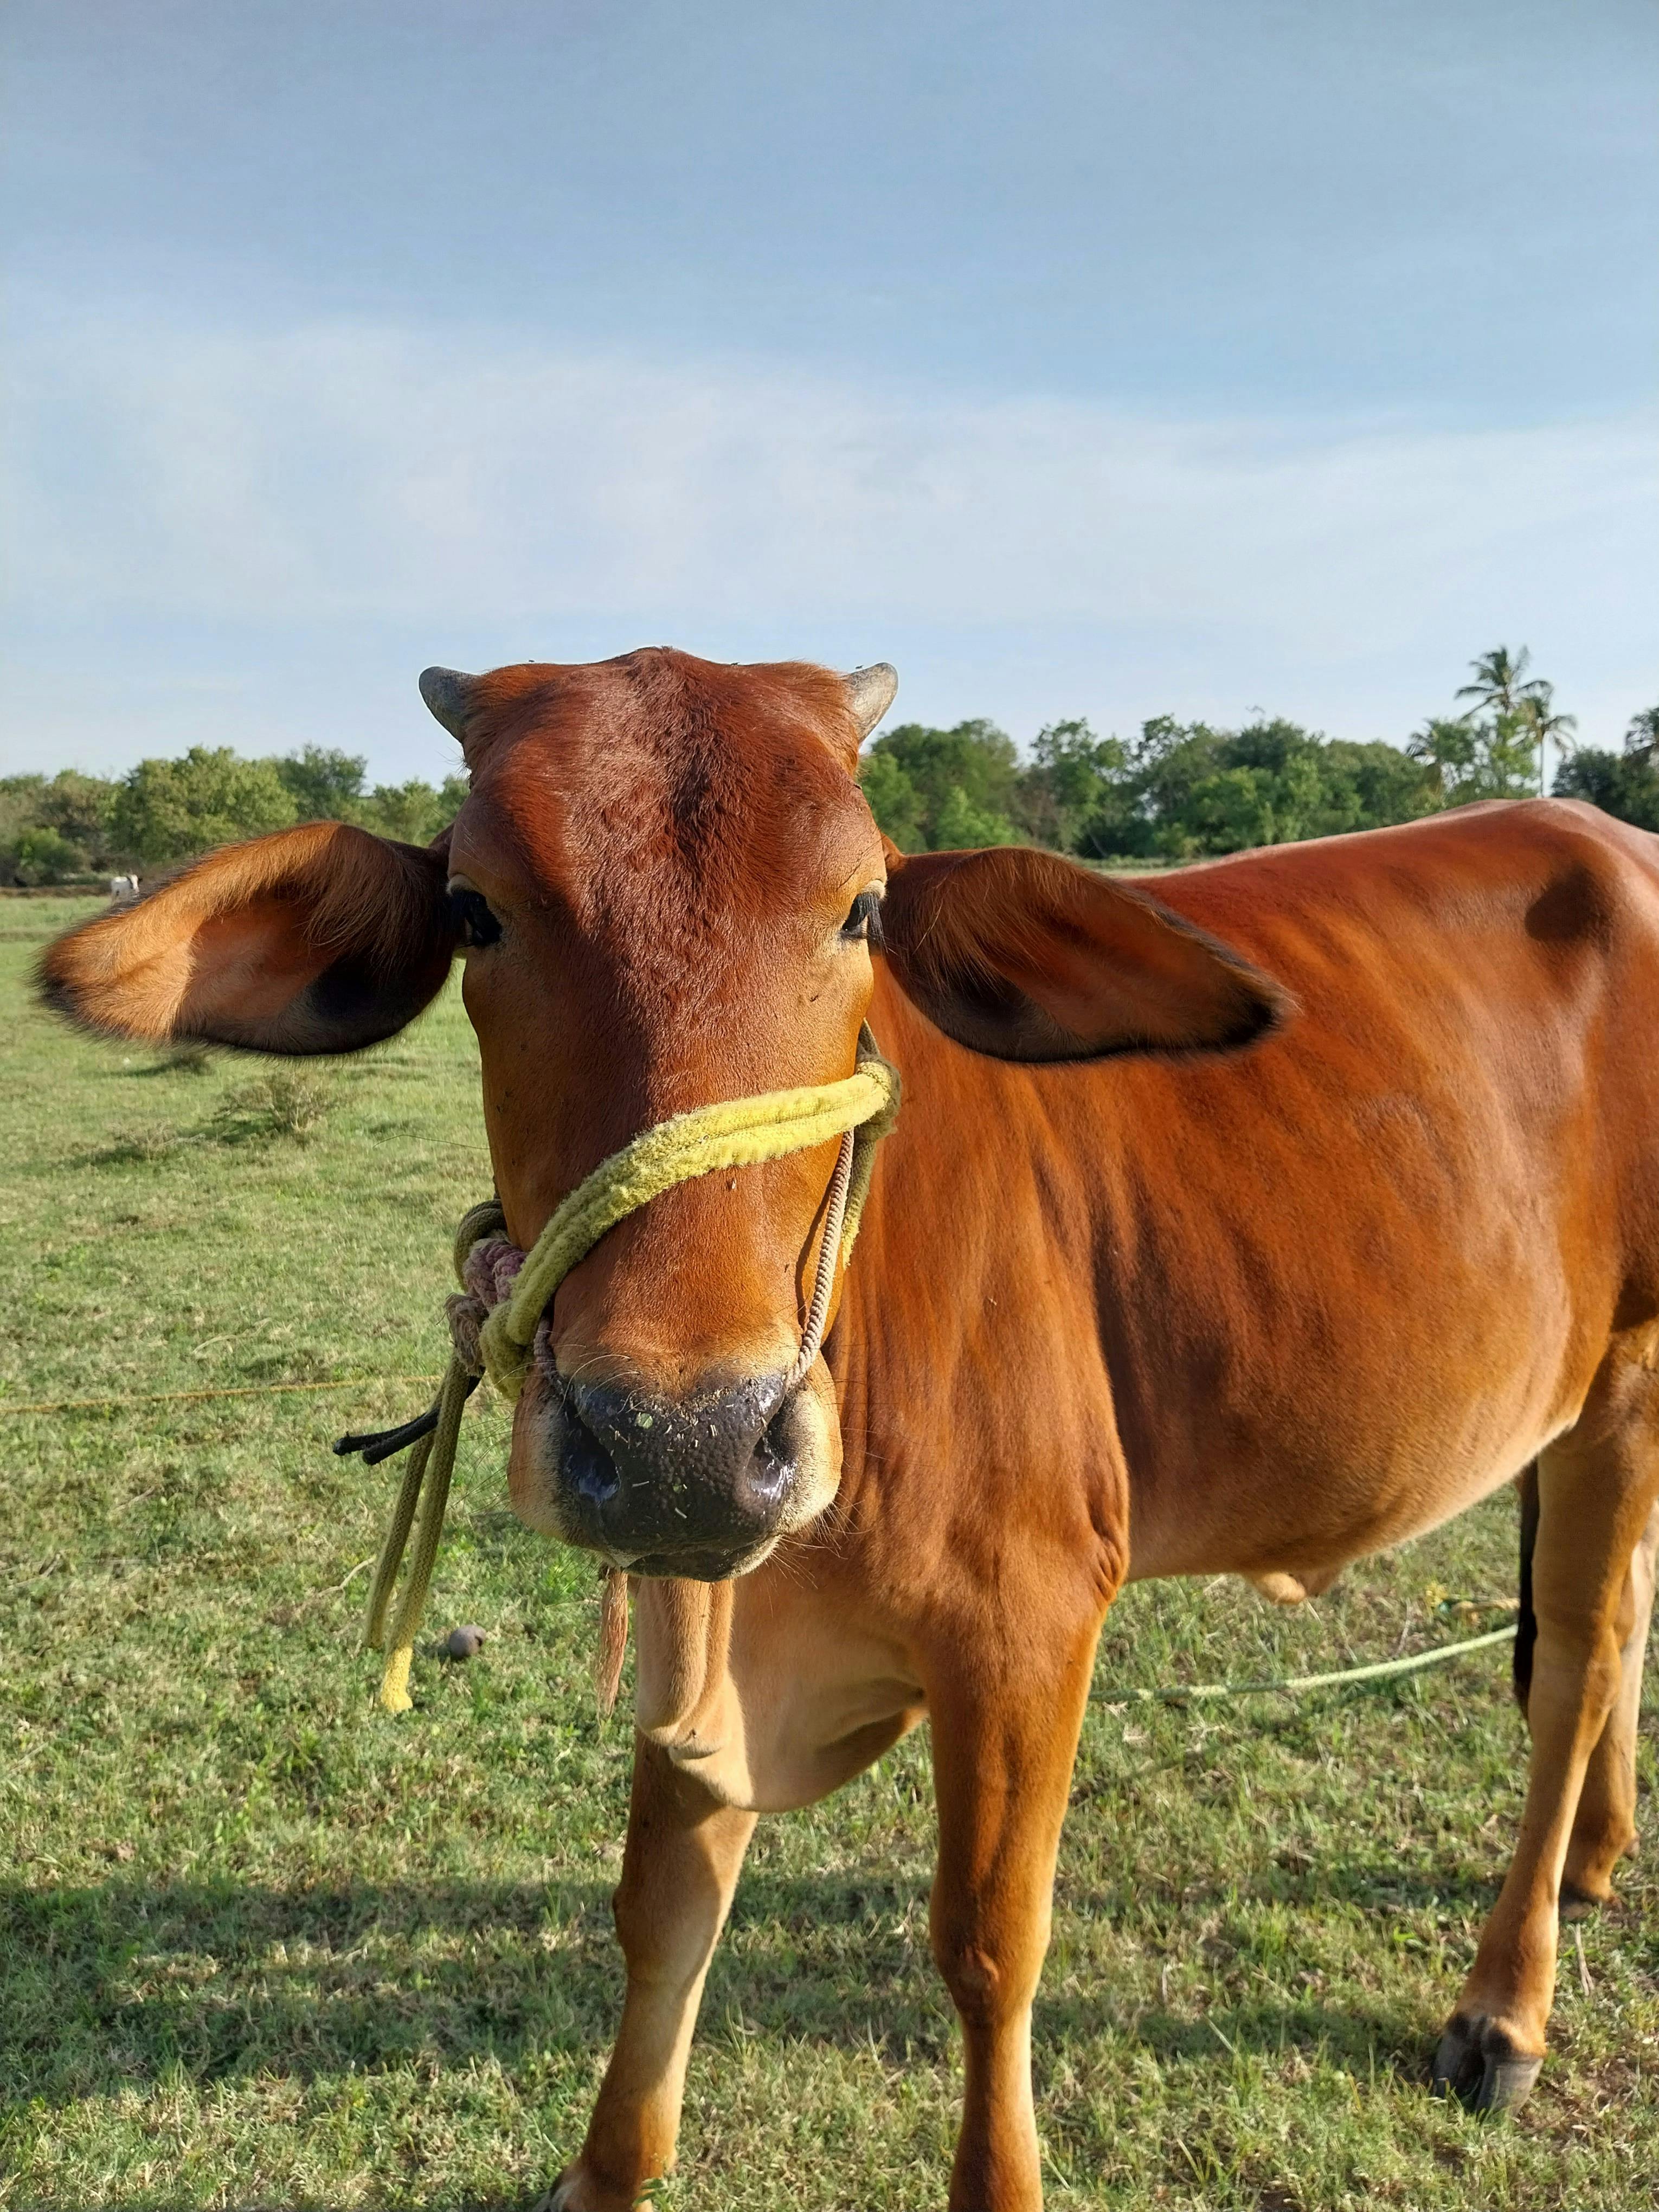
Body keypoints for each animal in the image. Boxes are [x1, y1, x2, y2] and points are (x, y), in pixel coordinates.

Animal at [40, 649, 1659, 2212]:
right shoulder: (704, 1600)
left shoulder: (1028, 1617)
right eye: (473, 909)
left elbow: (990, 1944)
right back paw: (1595, 1859)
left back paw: (1505, 2004)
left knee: (1574, 1661)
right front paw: (605, 2167)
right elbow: (659, 1910)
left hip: (1623, 1385)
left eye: (863, 905)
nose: (684, 1434)